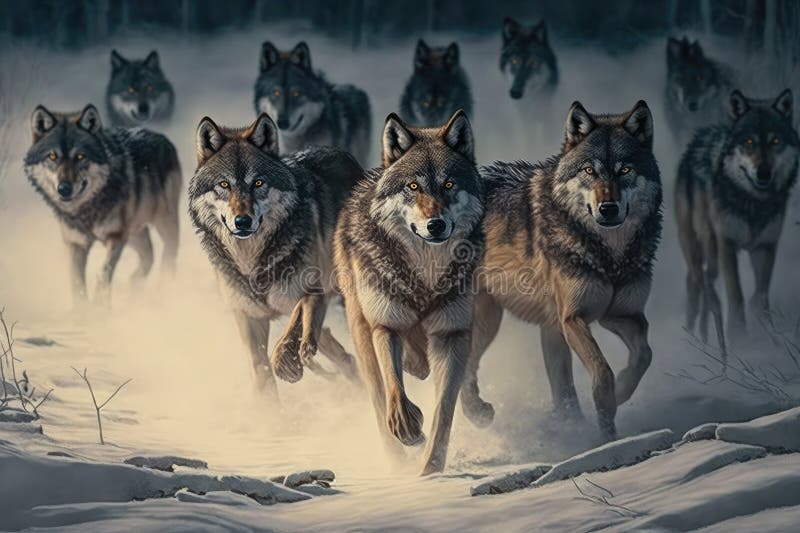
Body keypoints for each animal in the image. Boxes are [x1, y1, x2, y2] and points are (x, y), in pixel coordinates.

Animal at [24, 104, 181, 305]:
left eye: (80, 156)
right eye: (52, 156)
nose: (64, 189)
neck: (86, 211)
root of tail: (162, 137)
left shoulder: (115, 237)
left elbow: (103, 274)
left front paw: (100, 308)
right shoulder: (75, 244)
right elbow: (77, 284)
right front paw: (82, 312)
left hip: (163, 222)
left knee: (169, 254)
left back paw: (165, 289)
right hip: (134, 233)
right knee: (149, 254)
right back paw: (134, 287)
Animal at [189, 113, 361, 398]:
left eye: (258, 183)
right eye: (224, 184)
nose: (242, 221)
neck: (253, 263)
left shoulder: (311, 291)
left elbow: (291, 331)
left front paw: (287, 364)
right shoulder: (247, 316)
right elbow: (261, 374)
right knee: (342, 354)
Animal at [334, 110, 483, 474]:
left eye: (449, 184)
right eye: (413, 186)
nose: (436, 225)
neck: (425, 277)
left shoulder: (451, 333)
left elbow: (445, 408)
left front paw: (430, 468)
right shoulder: (386, 325)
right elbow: (394, 387)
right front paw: (408, 428)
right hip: (363, 332)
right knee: (378, 395)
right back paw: (396, 456)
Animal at [463, 101, 662, 441]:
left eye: (625, 170)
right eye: (589, 170)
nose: (608, 208)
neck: (610, 257)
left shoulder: (621, 314)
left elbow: (644, 355)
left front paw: (622, 391)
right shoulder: (573, 317)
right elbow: (602, 371)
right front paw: (607, 425)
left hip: (526, 326)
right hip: (488, 323)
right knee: (462, 369)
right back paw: (477, 414)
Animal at [675, 89, 798, 358]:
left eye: (775, 141)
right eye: (749, 142)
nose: (763, 172)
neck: (753, 202)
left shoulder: (766, 246)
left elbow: (760, 295)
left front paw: (768, 334)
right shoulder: (727, 245)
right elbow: (737, 295)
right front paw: (739, 337)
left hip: (712, 259)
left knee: (708, 287)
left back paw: (706, 338)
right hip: (701, 248)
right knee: (694, 283)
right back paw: (690, 338)